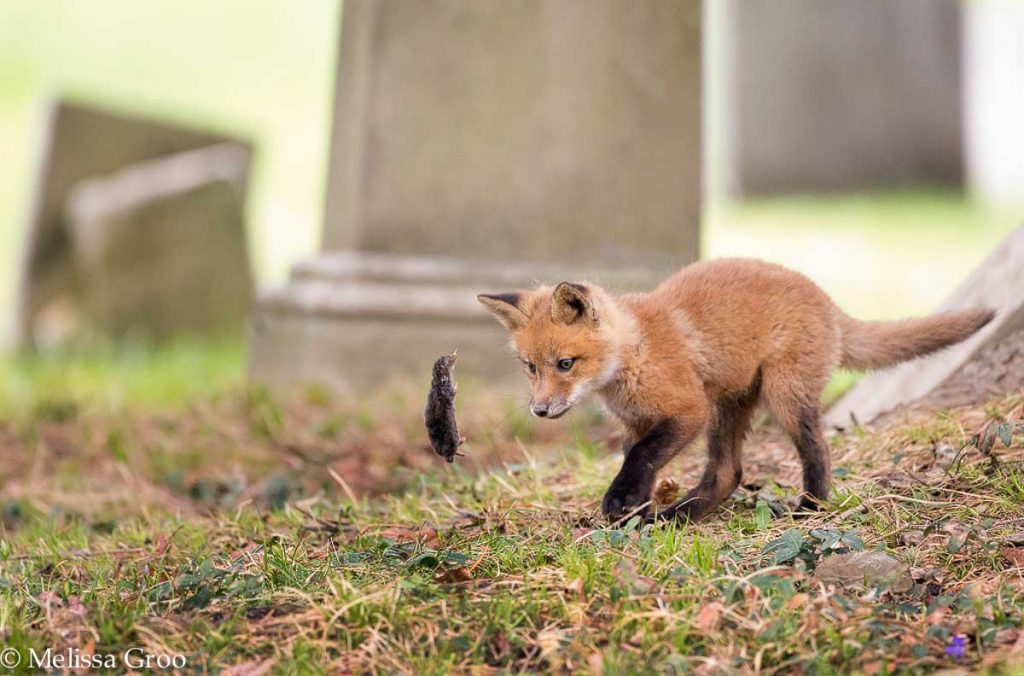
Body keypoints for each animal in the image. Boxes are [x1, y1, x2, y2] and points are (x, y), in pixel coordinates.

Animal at [478, 258, 995, 523]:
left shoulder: (688, 411)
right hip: (730, 407)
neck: (636, 351)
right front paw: (635, 511)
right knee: (729, 473)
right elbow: (640, 464)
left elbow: (640, 460)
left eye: (565, 364)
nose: (540, 410)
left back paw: (810, 507)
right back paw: (681, 515)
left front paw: (623, 504)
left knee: (818, 451)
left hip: (781, 399)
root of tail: (825, 298)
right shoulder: (640, 423)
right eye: (530, 367)